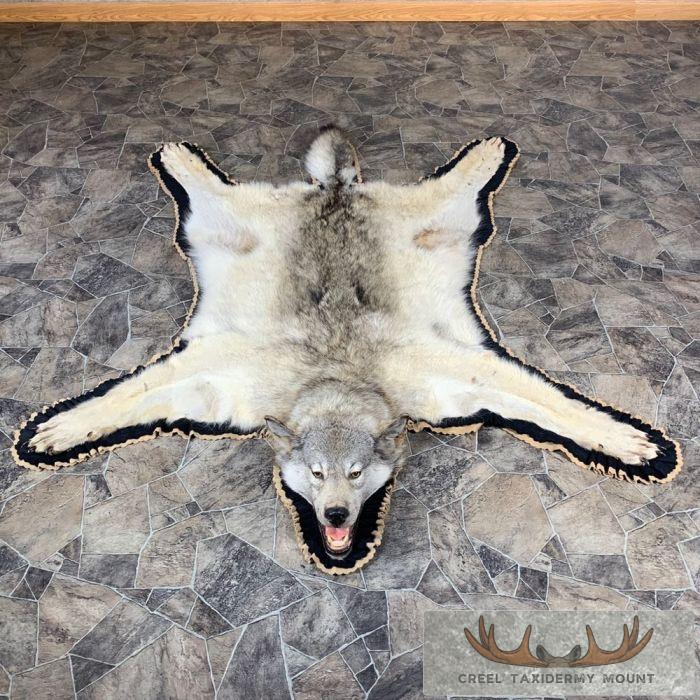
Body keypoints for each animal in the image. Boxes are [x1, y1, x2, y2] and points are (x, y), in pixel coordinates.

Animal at [15, 127, 680, 567]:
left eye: (356, 475)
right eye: (316, 474)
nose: (335, 517)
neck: (335, 376)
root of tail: (335, 189)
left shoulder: (458, 376)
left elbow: (556, 405)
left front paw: (630, 442)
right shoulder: (220, 375)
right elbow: (122, 398)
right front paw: (55, 430)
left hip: (439, 221)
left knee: (458, 180)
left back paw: (488, 151)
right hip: (227, 226)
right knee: (209, 187)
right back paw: (178, 155)